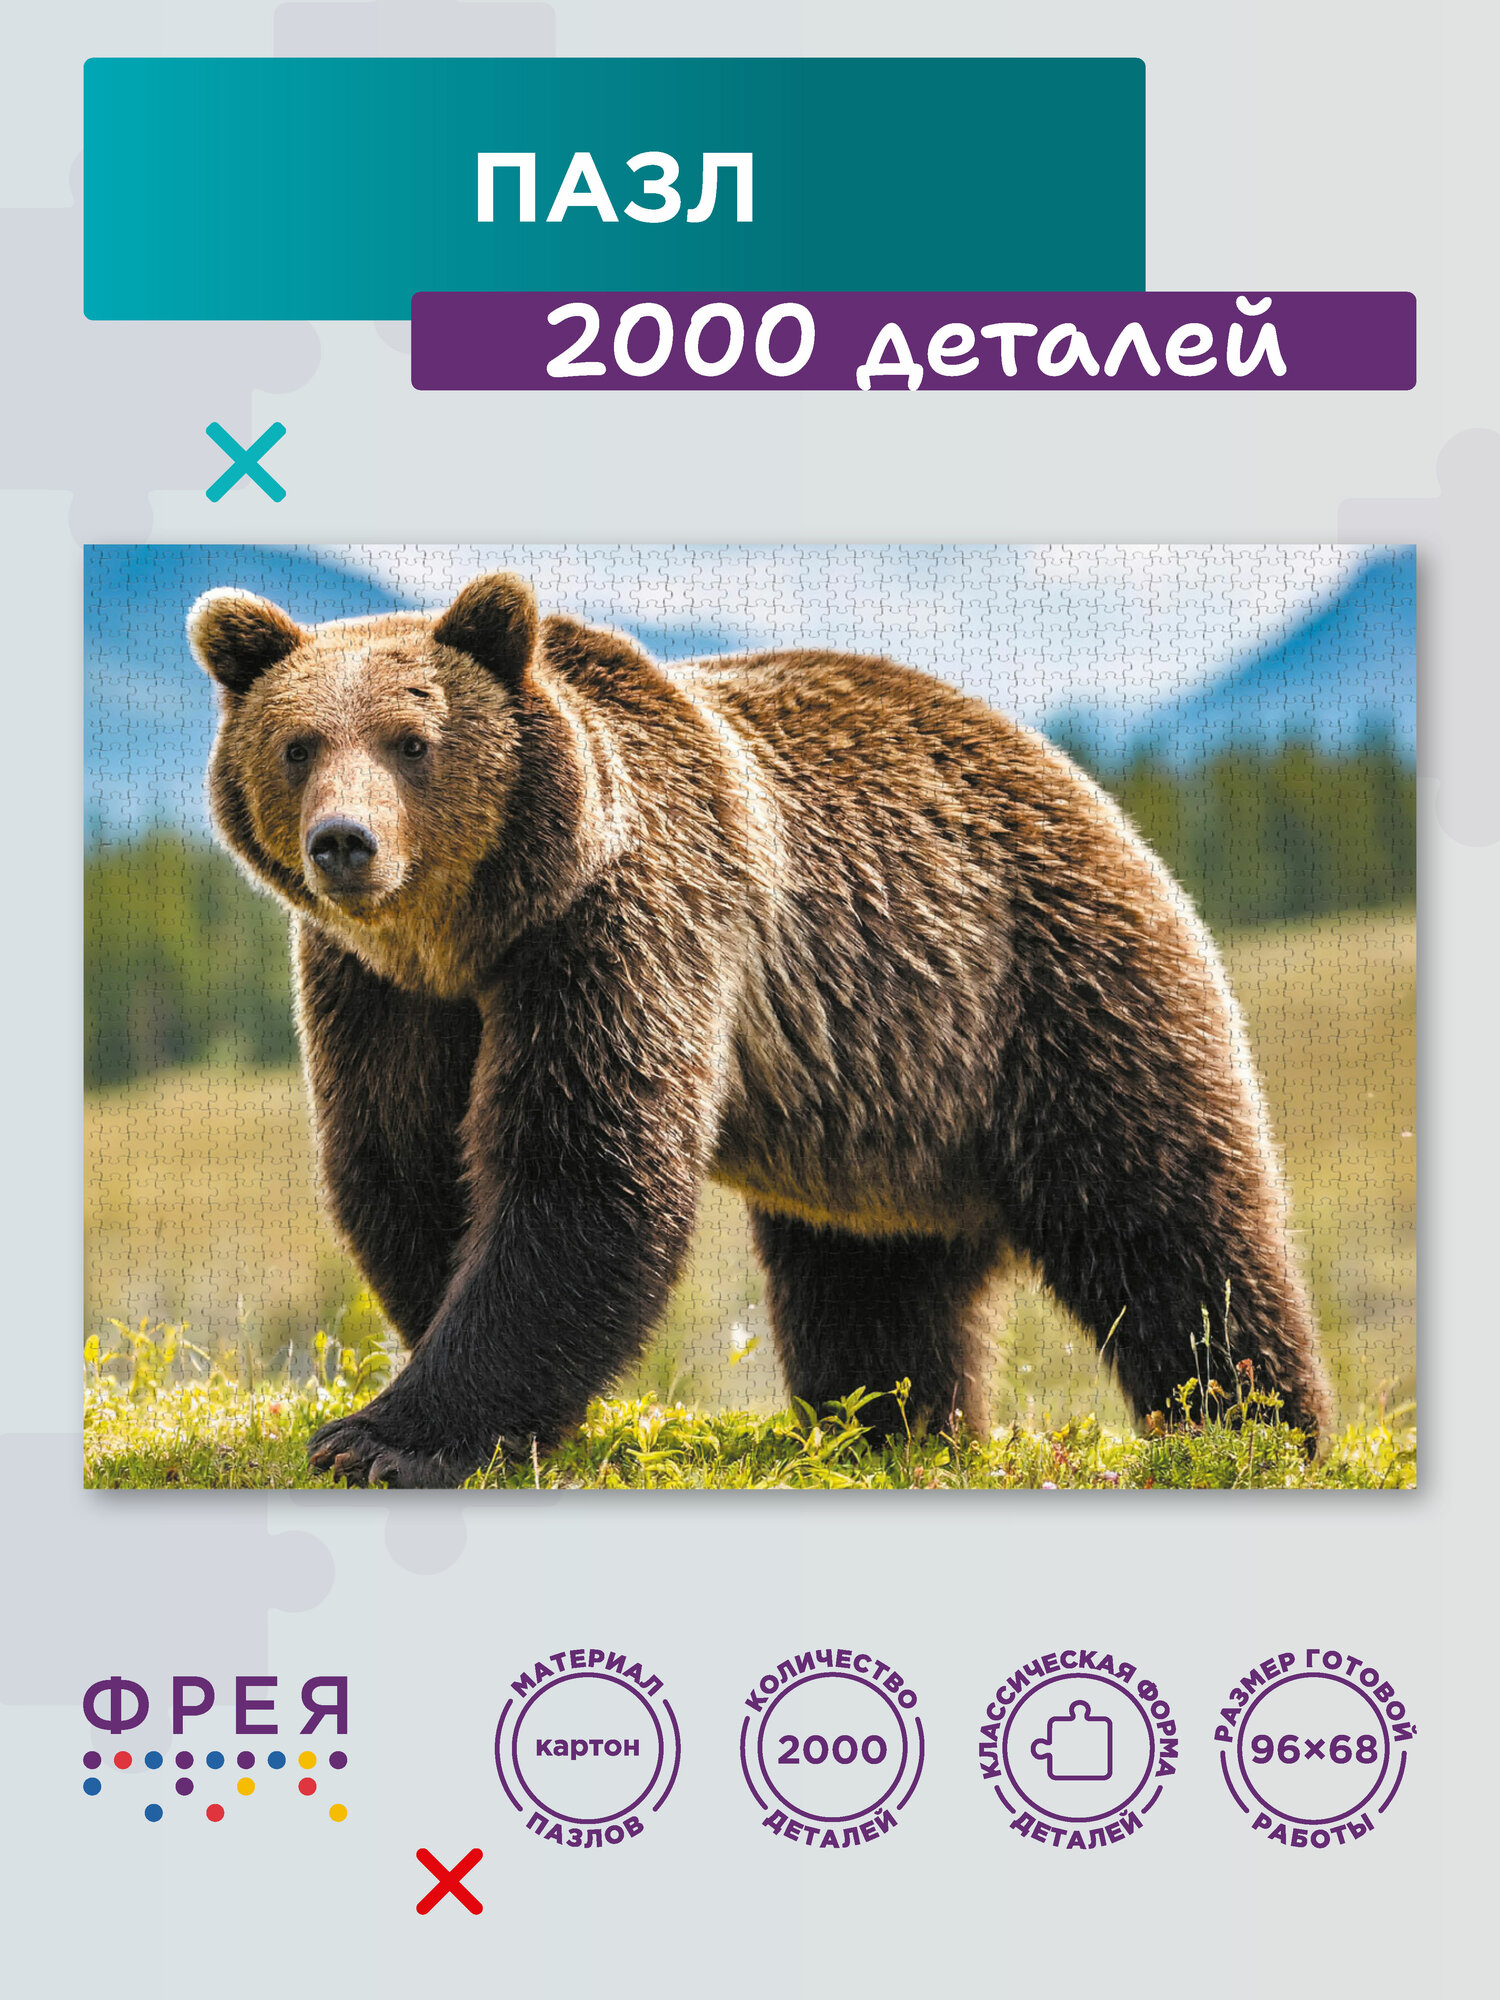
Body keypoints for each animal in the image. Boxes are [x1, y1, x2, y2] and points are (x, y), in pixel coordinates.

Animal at [187, 570, 1333, 1487]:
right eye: (297, 745)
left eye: (413, 741)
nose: (346, 842)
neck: (476, 930)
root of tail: (1091, 792)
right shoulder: (380, 988)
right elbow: (405, 1161)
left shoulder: (626, 923)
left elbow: (583, 1169)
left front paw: (385, 1436)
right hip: (885, 1108)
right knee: (873, 1287)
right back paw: (896, 1429)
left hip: (1052, 994)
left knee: (1173, 1227)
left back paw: (1255, 1429)